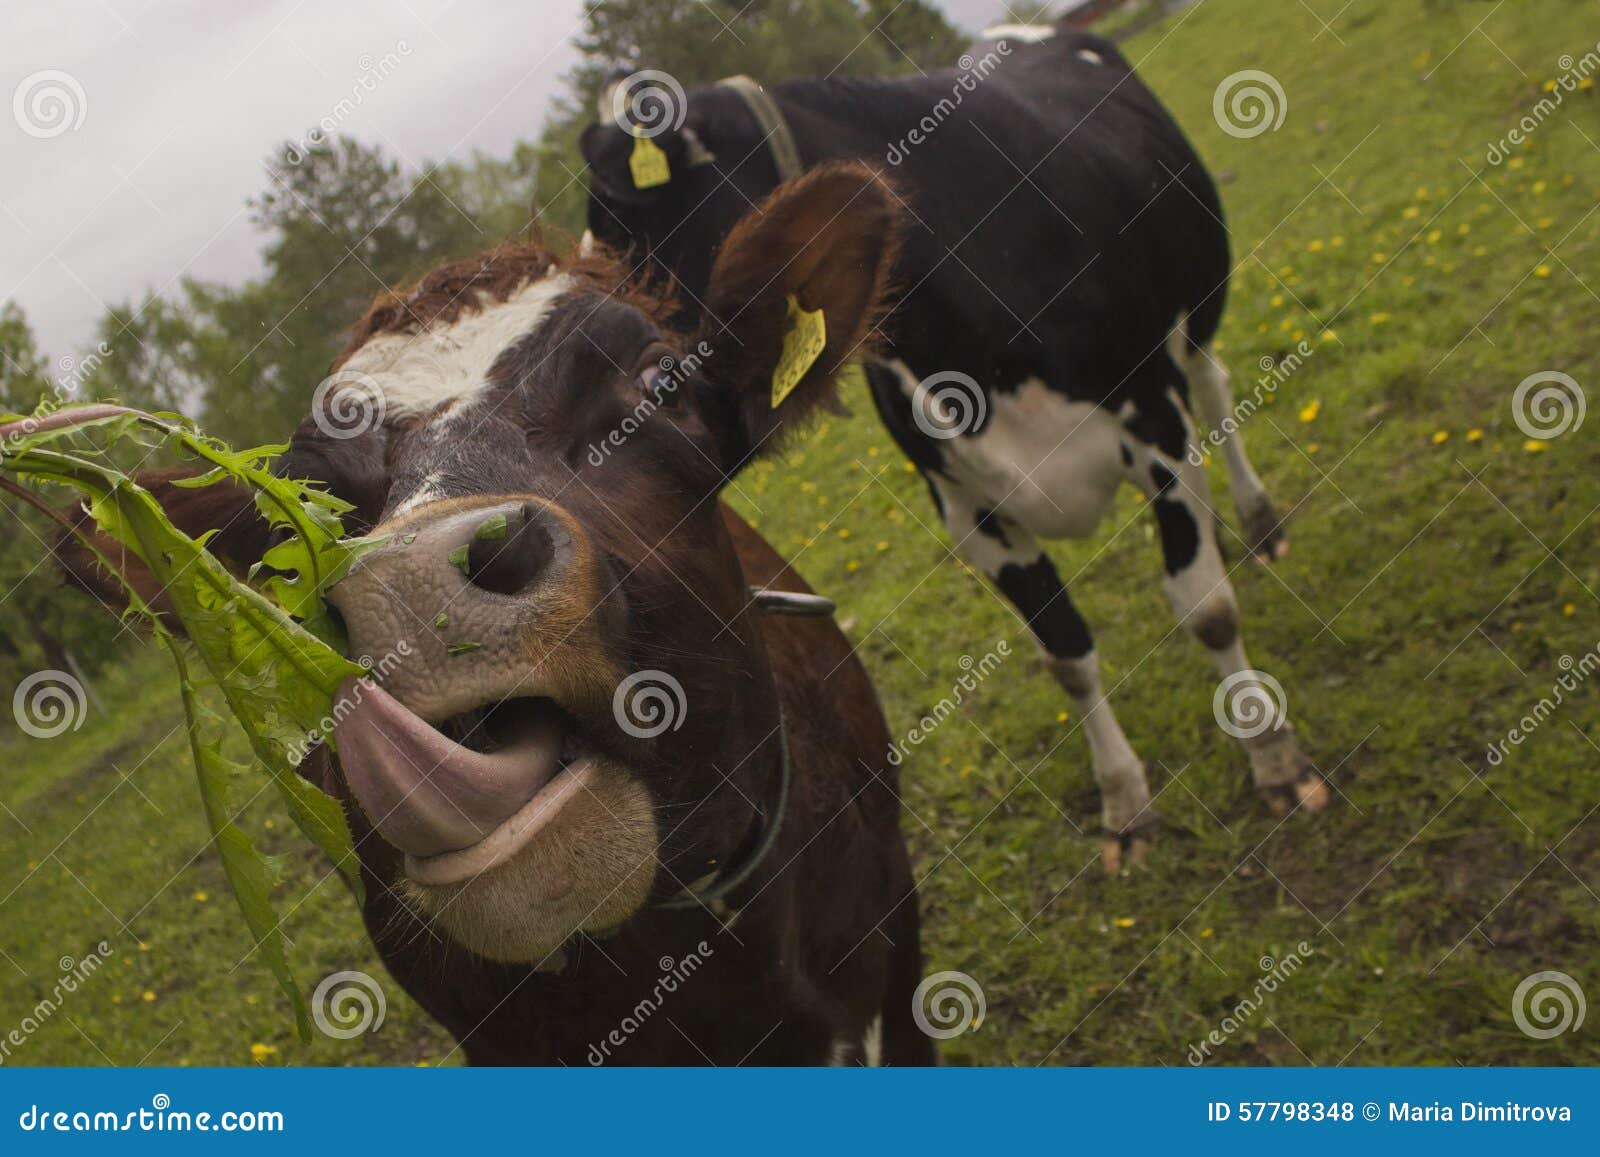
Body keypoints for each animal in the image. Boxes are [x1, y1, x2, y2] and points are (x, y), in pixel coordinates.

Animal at [580, 21, 1328, 870]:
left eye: (618, 227)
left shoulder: (1158, 429)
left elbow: (1207, 610)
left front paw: (1272, 754)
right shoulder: (971, 512)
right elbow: (1066, 654)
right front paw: (1125, 803)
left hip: (1197, 312)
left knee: (1217, 388)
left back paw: (1261, 523)